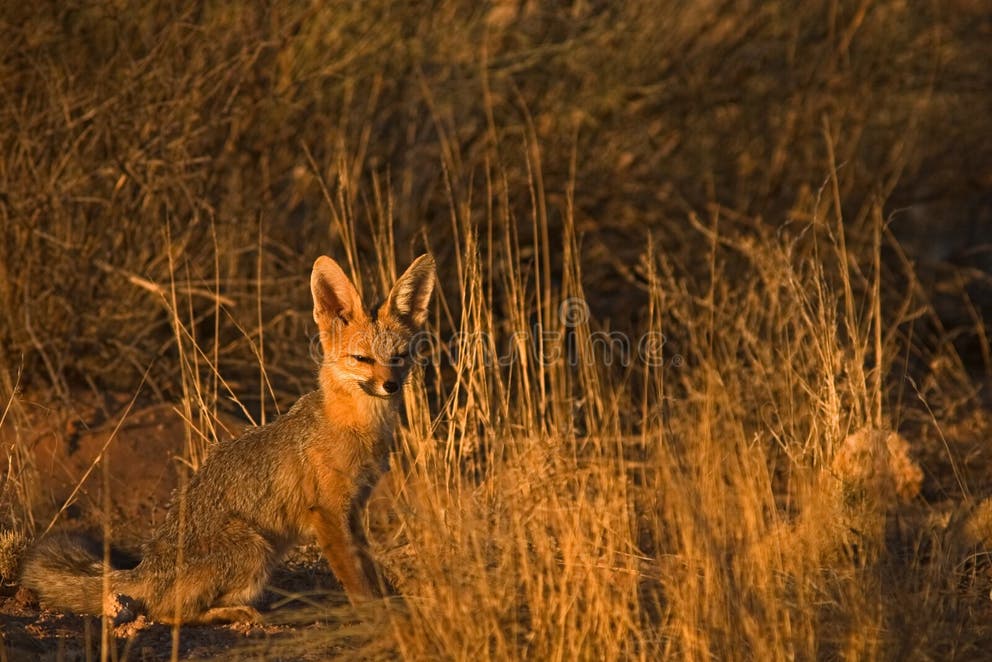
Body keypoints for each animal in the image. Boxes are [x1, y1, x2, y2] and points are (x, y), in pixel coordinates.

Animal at [20, 253, 436, 624]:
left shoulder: (354, 512)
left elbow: (371, 571)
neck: (356, 426)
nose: (390, 385)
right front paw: (380, 618)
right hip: (255, 547)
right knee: (167, 613)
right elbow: (358, 582)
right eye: (362, 359)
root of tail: (147, 566)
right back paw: (239, 613)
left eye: (399, 356)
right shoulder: (330, 514)